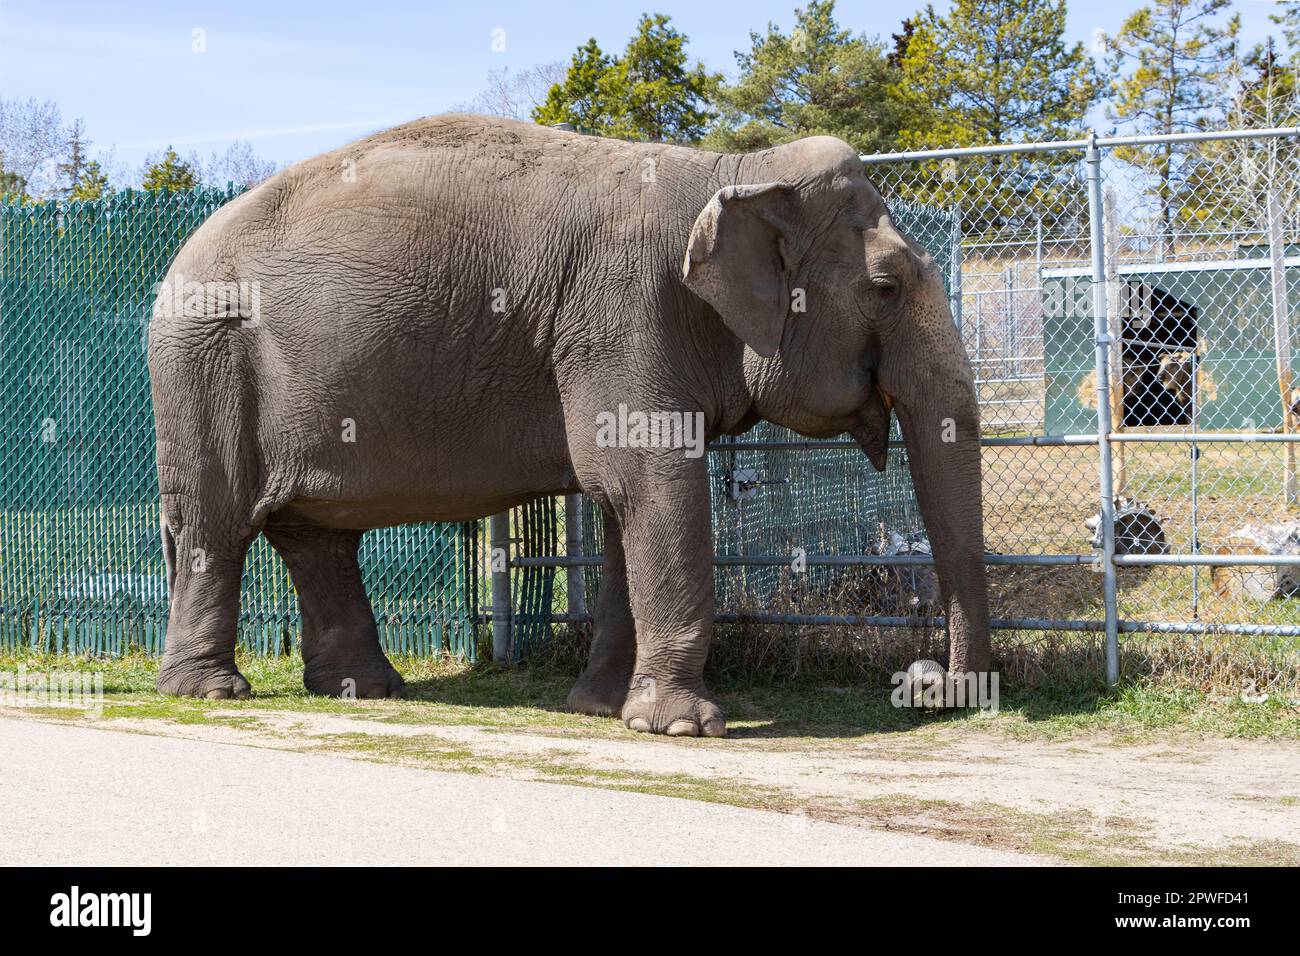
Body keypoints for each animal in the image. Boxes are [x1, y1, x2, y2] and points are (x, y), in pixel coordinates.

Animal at [147, 114, 990, 736]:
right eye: (885, 287)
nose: (925, 682)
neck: (735, 170)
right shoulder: (625, 314)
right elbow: (653, 485)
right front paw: (682, 727)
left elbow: (626, 505)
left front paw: (604, 709)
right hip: (203, 364)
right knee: (216, 525)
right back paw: (212, 694)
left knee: (314, 535)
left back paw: (364, 690)